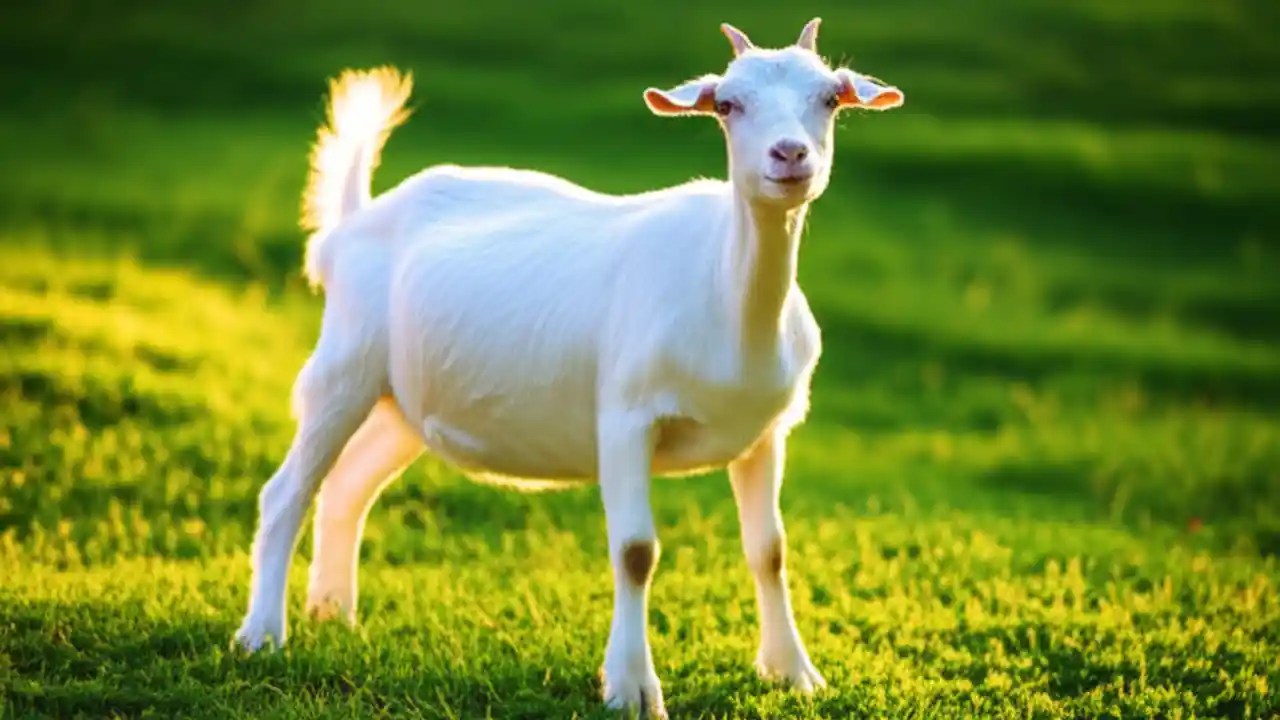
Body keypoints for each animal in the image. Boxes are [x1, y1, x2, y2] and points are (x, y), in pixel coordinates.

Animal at [233, 18, 903, 717]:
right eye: (726, 104)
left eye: (829, 98)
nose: (790, 155)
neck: (725, 290)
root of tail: (352, 225)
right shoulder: (626, 417)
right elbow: (636, 551)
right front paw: (632, 688)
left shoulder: (766, 431)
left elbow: (769, 550)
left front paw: (793, 673)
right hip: (345, 361)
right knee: (288, 489)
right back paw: (263, 635)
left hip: (406, 401)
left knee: (347, 485)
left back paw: (333, 613)